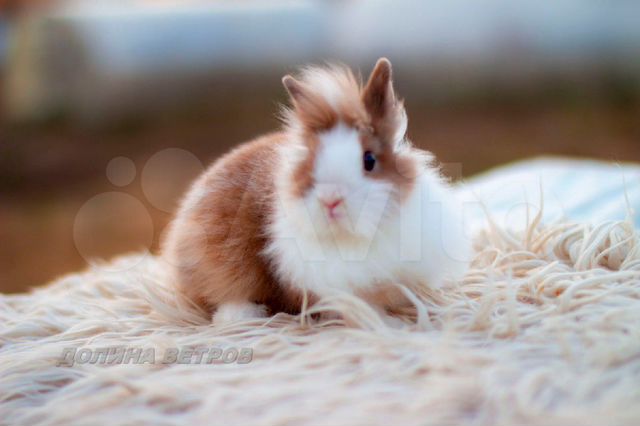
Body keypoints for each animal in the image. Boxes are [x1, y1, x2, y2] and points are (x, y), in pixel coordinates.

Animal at [162, 58, 471, 325]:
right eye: (310, 164)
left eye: (369, 160)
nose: (331, 201)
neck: (353, 239)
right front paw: (380, 321)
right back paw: (243, 316)